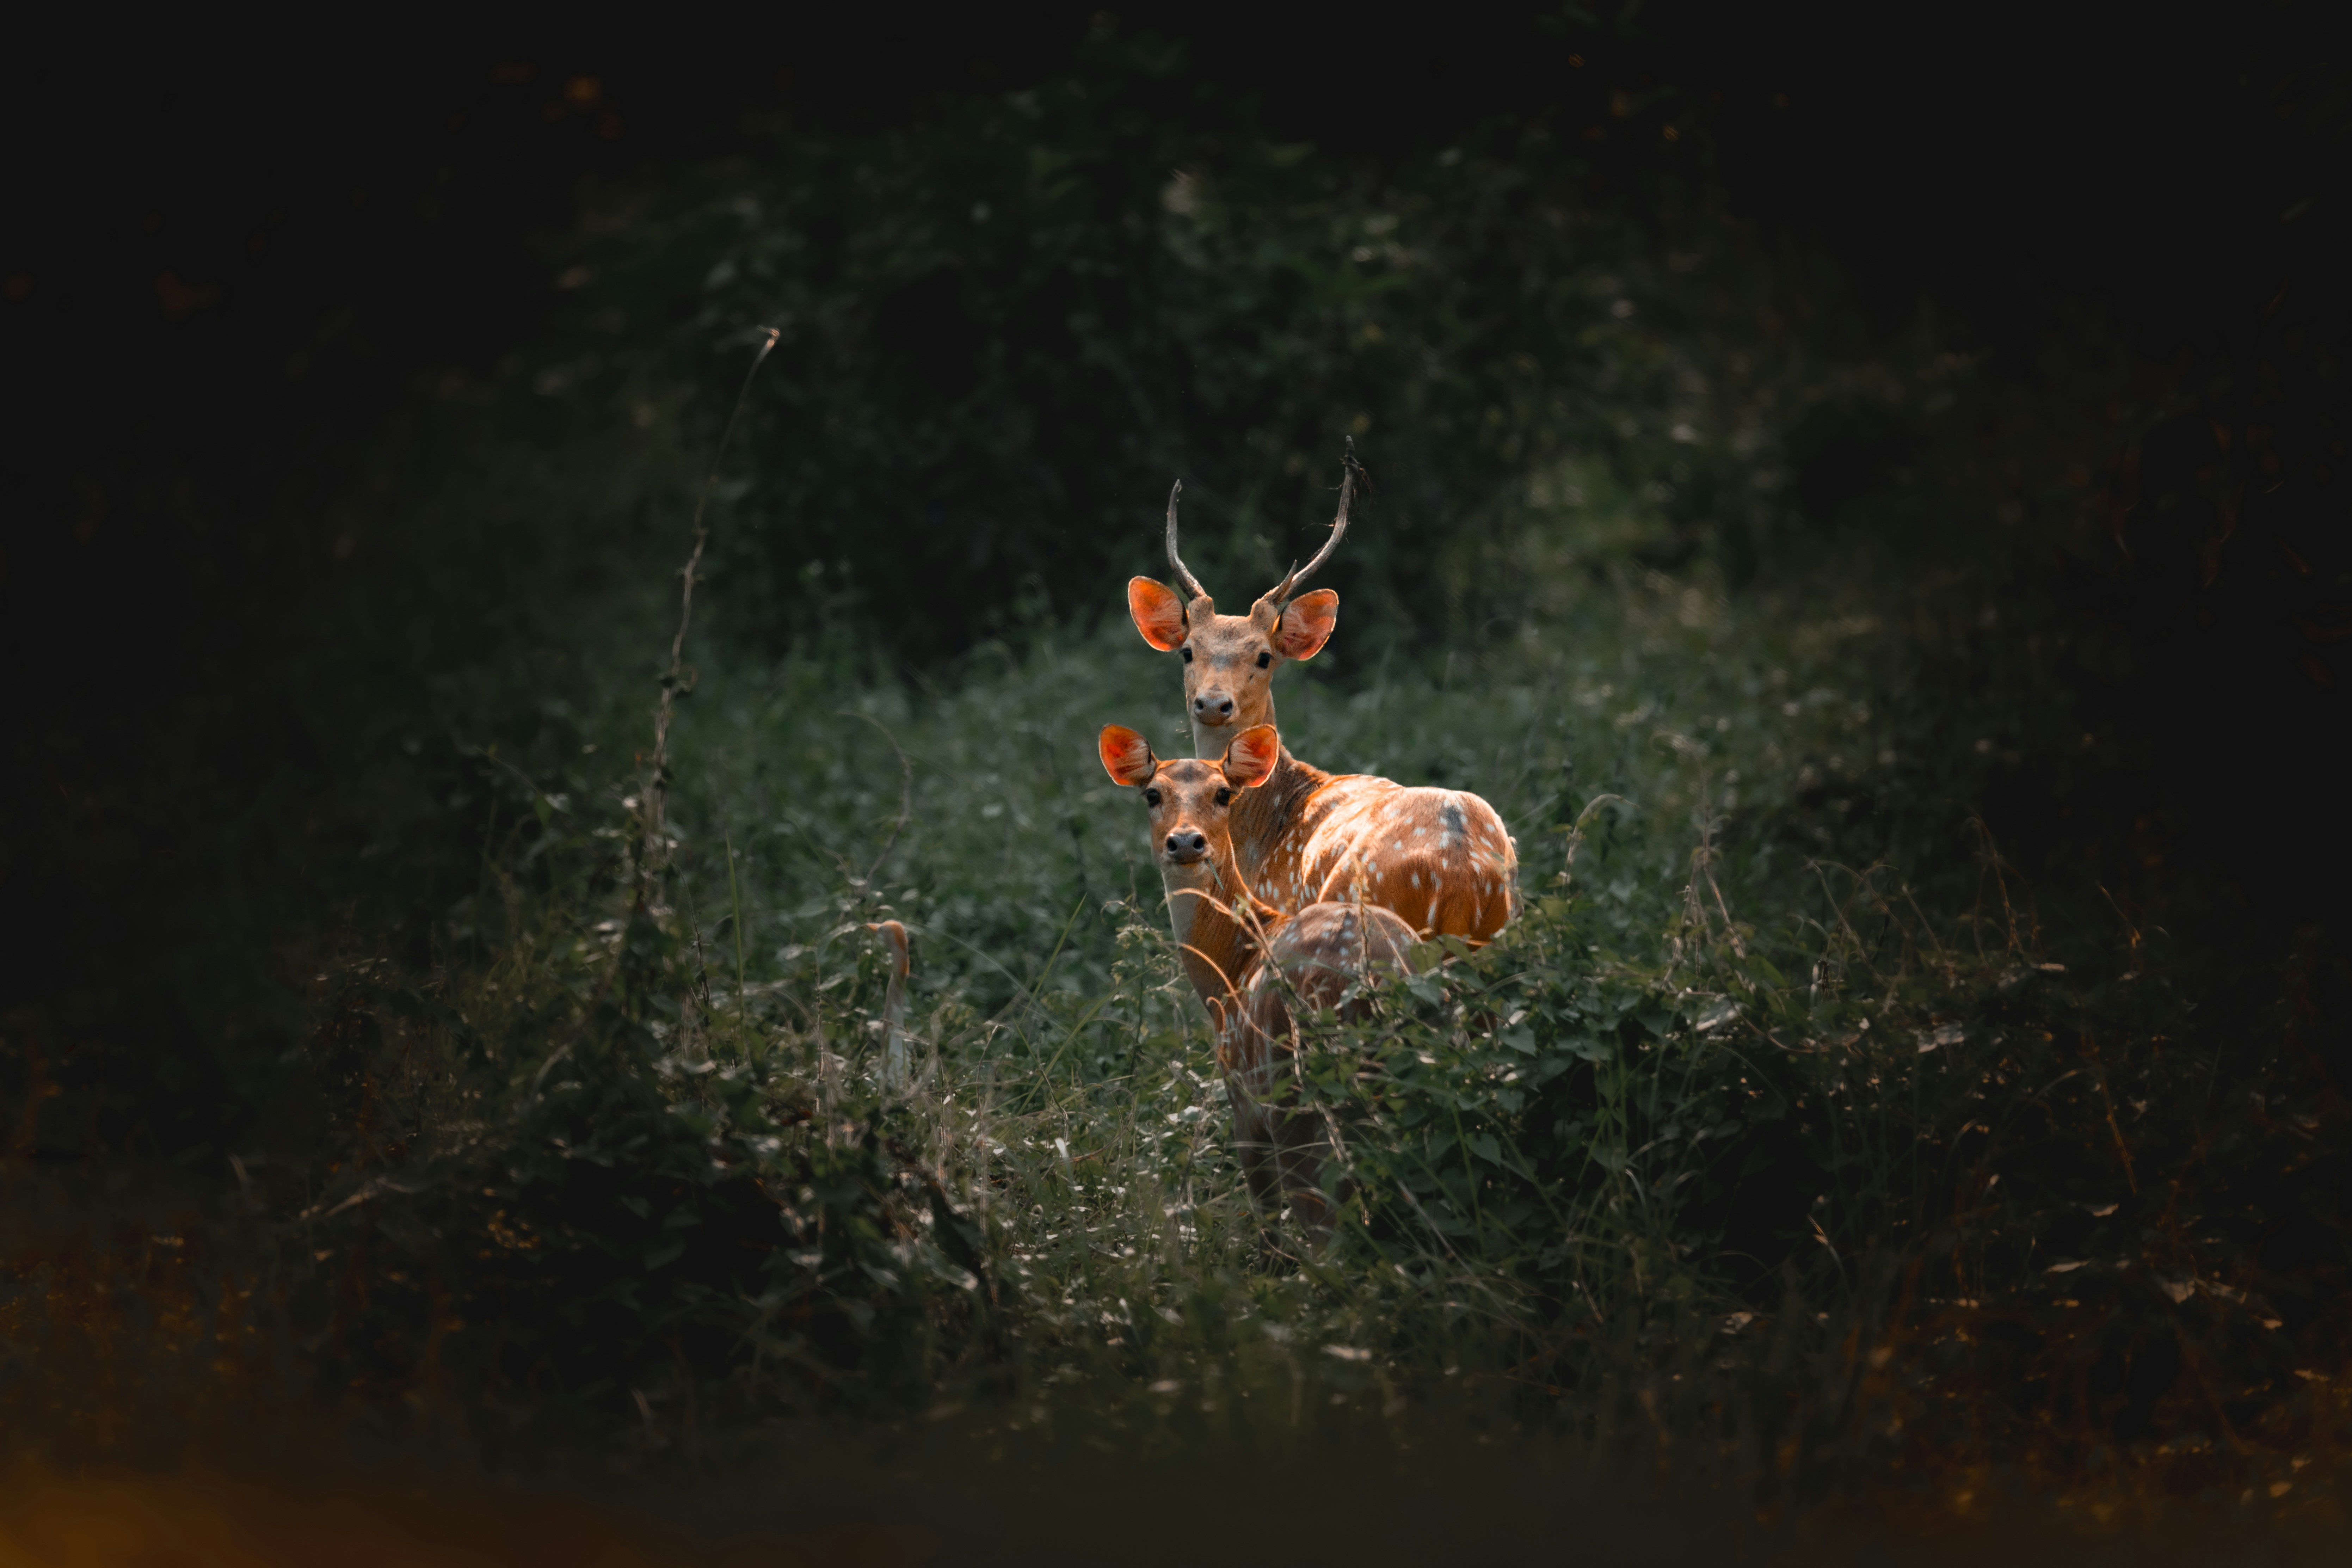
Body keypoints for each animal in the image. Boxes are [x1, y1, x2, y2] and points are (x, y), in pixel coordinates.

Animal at [1098, 720, 1419, 1244]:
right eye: (1152, 794)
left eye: (1223, 792)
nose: (1185, 843)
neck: (1229, 967)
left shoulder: (1242, 1098)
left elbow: (1268, 1223)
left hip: (1294, 1093)